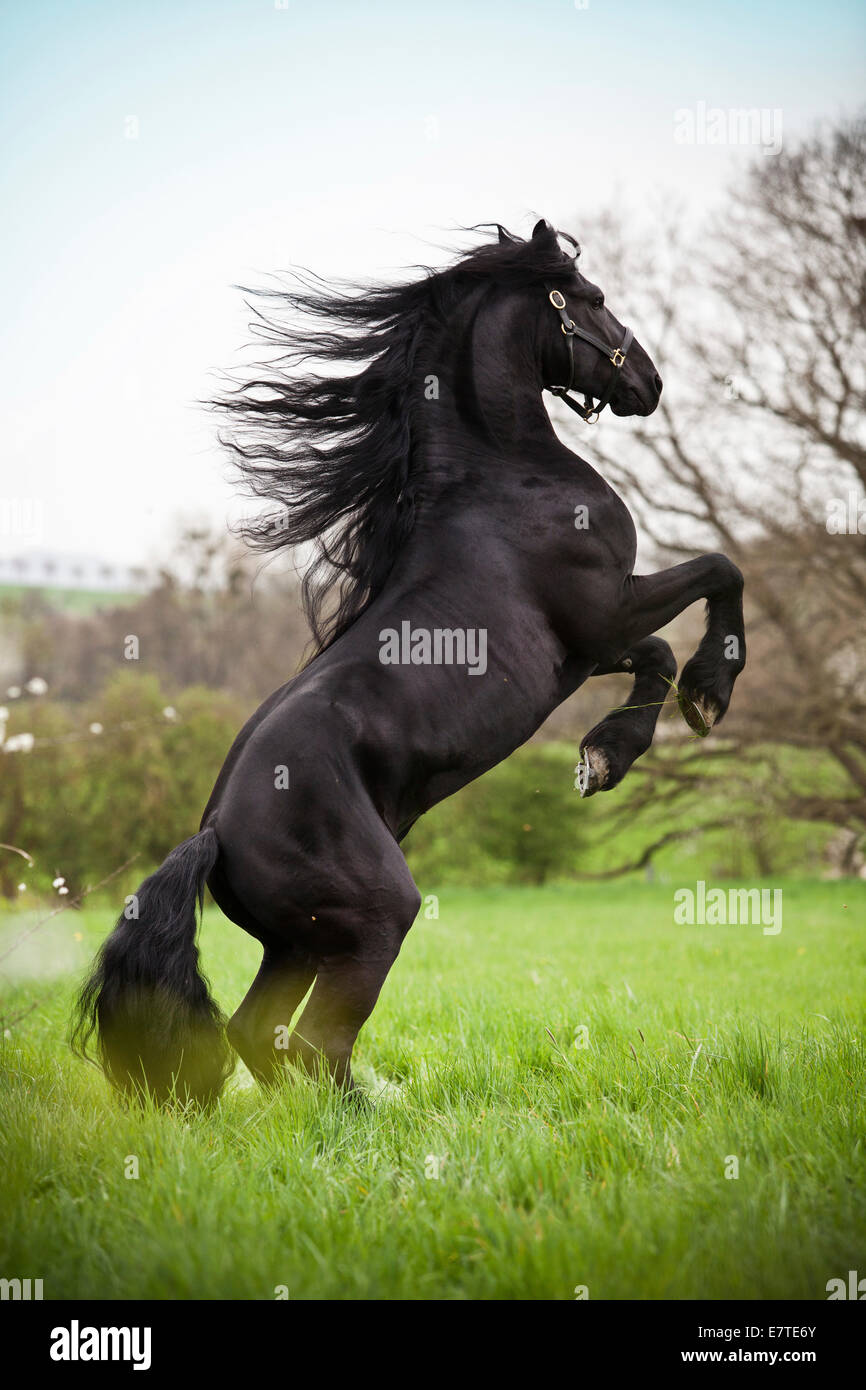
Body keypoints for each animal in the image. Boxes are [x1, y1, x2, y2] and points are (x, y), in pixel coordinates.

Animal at [72, 219, 745, 1104]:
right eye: (592, 297)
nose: (650, 382)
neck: (504, 480)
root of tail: (213, 830)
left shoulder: (588, 647)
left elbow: (660, 653)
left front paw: (606, 755)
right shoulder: (605, 612)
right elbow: (720, 572)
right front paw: (704, 698)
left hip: (301, 942)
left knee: (261, 1033)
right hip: (373, 917)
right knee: (315, 1043)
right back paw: (372, 1117)